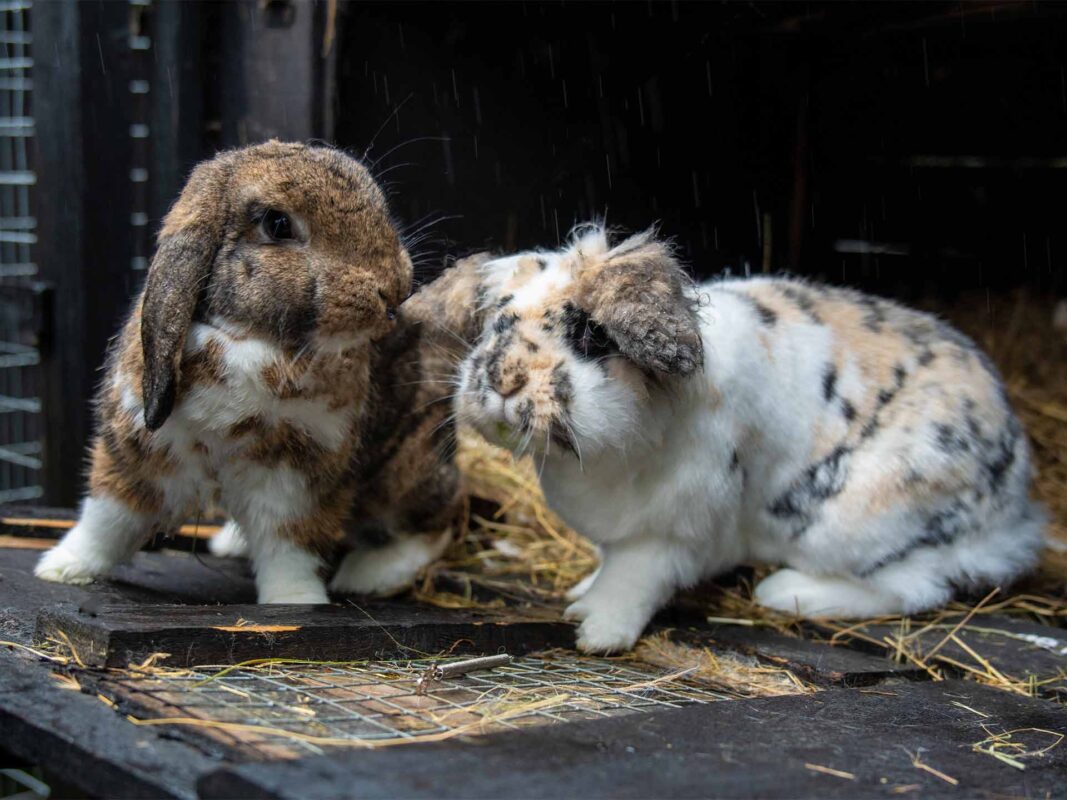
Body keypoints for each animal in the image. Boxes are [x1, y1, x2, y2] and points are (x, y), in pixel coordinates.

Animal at [35, 140, 414, 604]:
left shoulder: (298, 481)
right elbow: (107, 520)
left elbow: (288, 548)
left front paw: (296, 602)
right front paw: (61, 569)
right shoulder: (138, 453)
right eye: (277, 224)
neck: (252, 343)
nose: (395, 290)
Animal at [443, 223, 1044, 653]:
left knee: (916, 586)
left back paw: (784, 591)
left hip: (855, 521)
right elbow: (610, 566)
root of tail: (1012, 504)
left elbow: (634, 579)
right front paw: (580, 593)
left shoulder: (674, 531)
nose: (502, 379)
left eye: (591, 336)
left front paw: (597, 632)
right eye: (499, 322)